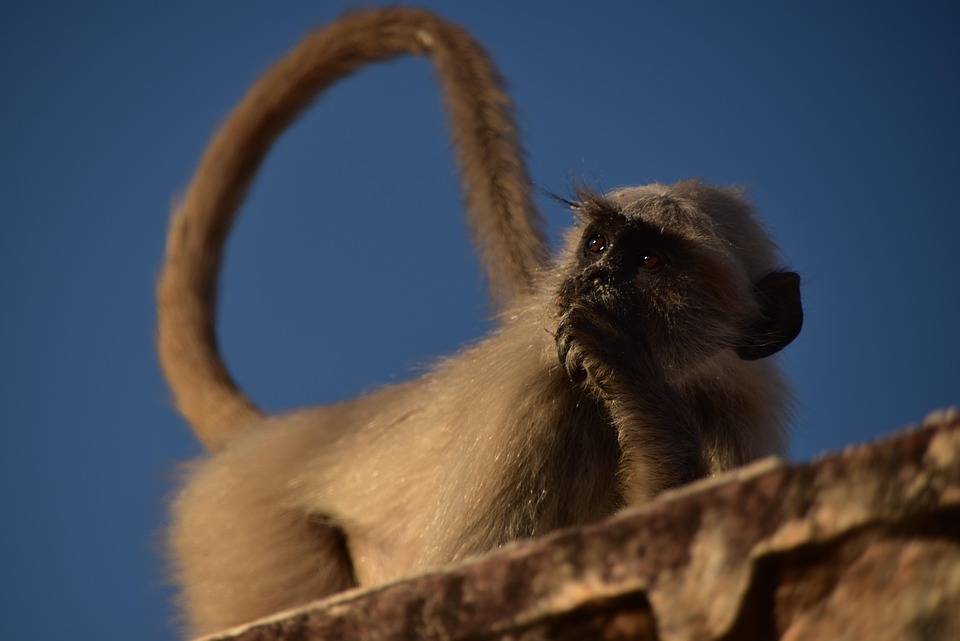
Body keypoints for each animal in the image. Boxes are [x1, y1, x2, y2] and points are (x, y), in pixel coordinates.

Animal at [158, 8, 802, 638]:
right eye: (597, 245)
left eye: (648, 262)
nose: (592, 280)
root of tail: (282, 436)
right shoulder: (537, 396)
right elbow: (465, 567)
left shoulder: (738, 417)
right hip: (249, 540)